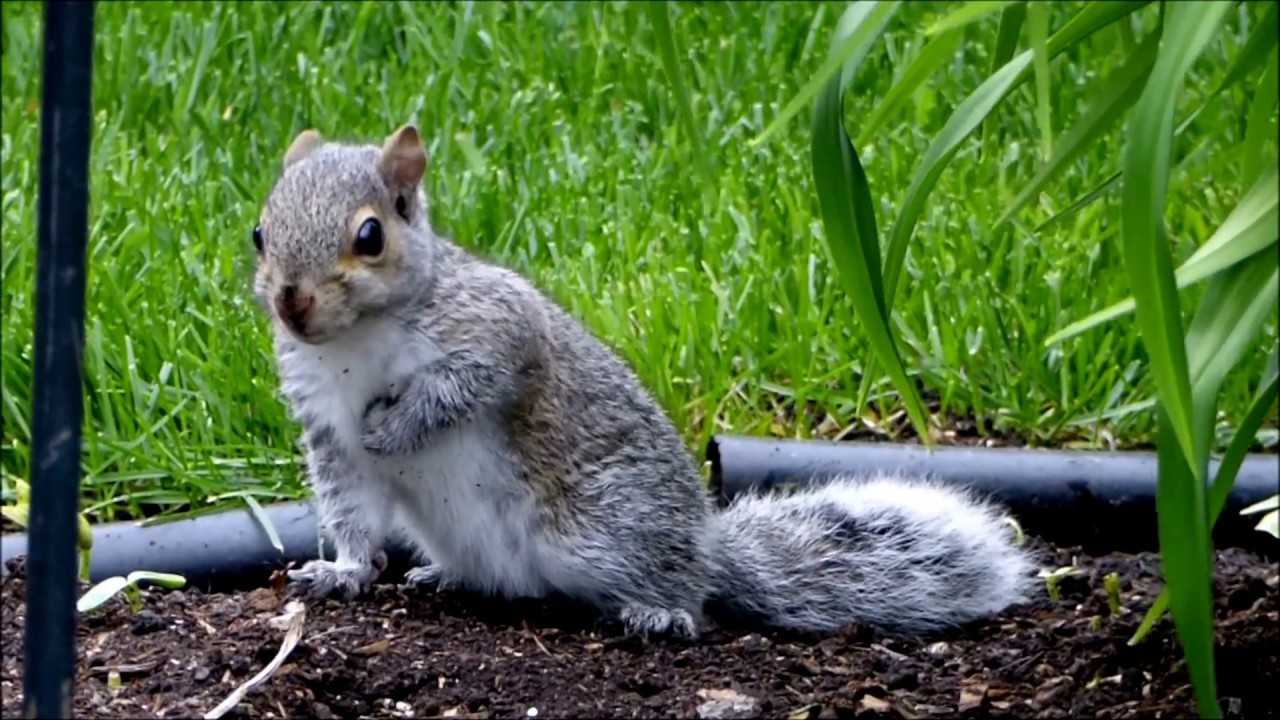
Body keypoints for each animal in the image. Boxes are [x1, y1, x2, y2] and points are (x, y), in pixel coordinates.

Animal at [250, 123, 1037, 640]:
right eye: (260, 233)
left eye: (370, 236)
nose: (291, 301)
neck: (353, 346)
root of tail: (706, 546)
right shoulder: (328, 432)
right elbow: (353, 513)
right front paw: (344, 572)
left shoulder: (497, 333)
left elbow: (464, 386)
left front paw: (396, 424)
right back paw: (443, 575)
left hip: (607, 523)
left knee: (687, 593)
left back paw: (659, 610)